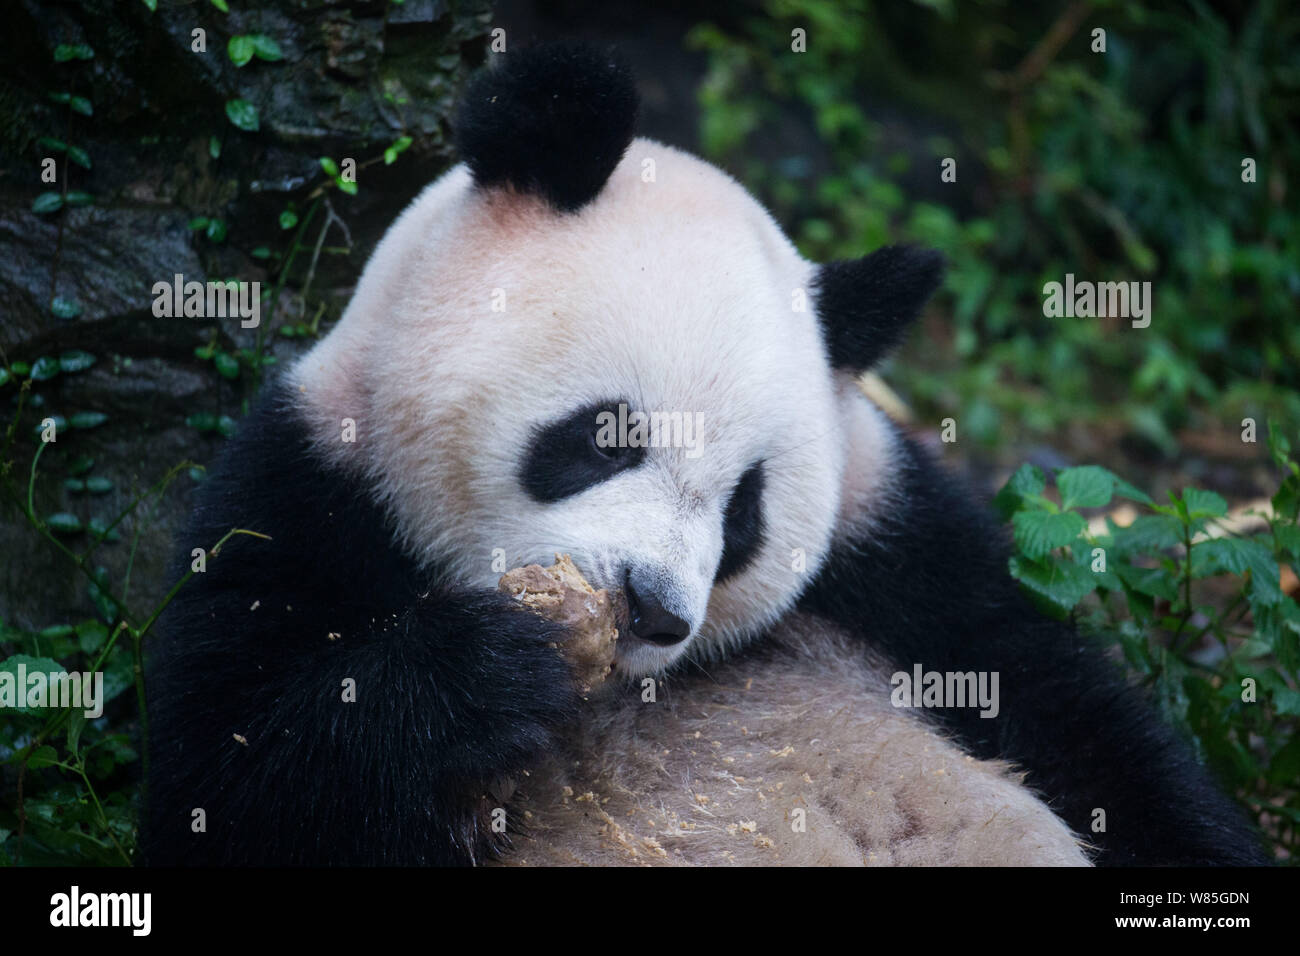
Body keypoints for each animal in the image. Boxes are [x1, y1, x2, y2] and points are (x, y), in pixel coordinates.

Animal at [143, 44, 1265, 867]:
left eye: (745, 514)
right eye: (604, 438)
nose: (650, 609)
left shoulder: (894, 542)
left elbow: (1080, 724)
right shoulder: (313, 486)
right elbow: (227, 777)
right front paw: (486, 672)